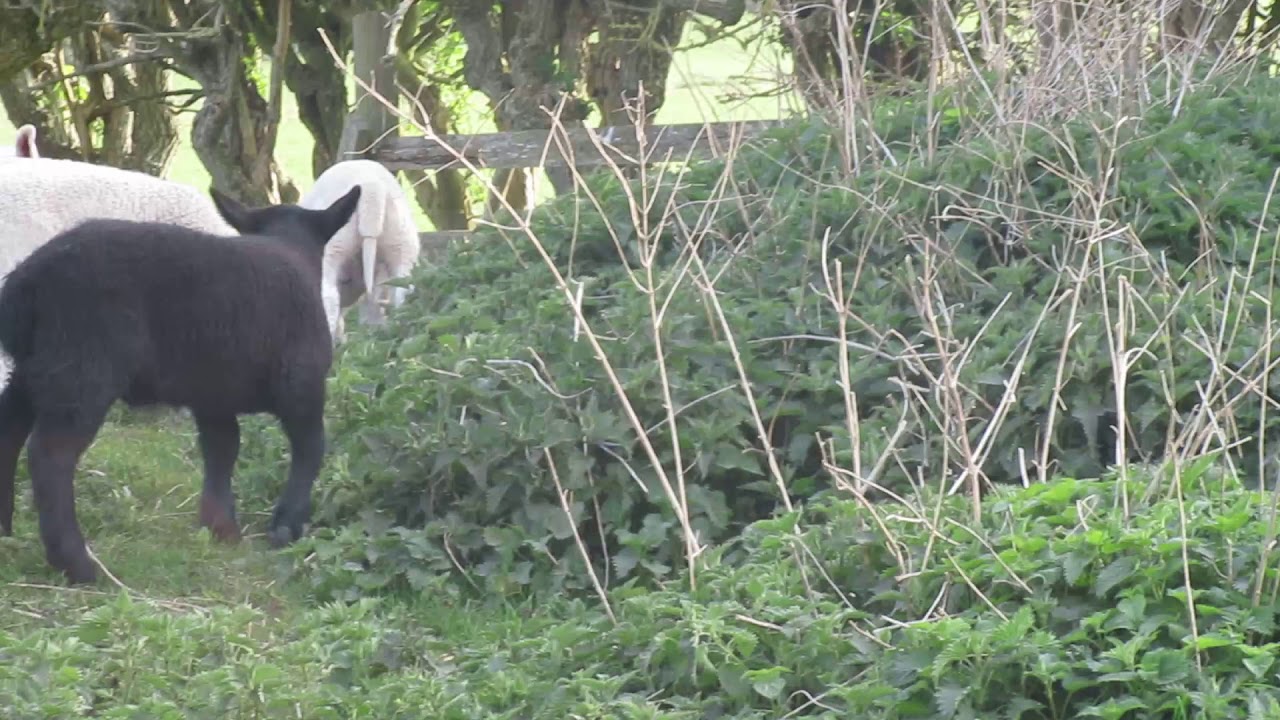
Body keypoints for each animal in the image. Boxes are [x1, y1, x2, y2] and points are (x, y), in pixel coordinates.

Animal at [0, 186, 361, 584]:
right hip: (83, 366)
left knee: (9, 430)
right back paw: (78, 565)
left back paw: (4, 530)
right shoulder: (302, 385)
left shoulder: (213, 395)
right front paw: (287, 524)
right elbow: (310, 447)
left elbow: (222, 449)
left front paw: (221, 528)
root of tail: (27, 282)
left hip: (36, 365)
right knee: (50, 455)